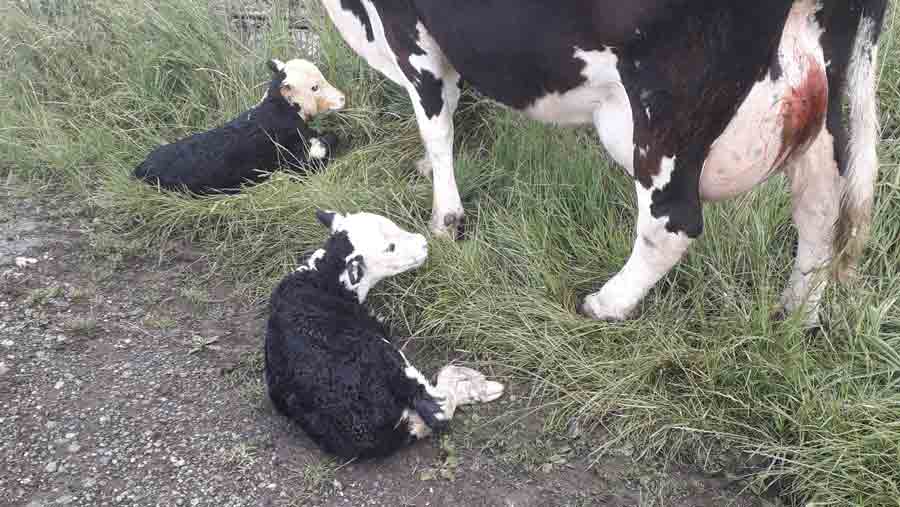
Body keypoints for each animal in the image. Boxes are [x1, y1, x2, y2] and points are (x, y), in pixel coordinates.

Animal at [316, 0, 888, 327]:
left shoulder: (407, 28)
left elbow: (436, 120)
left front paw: (445, 217)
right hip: (827, 92)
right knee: (821, 211)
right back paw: (797, 314)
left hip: (668, 103)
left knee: (672, 222)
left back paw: (606, 303)